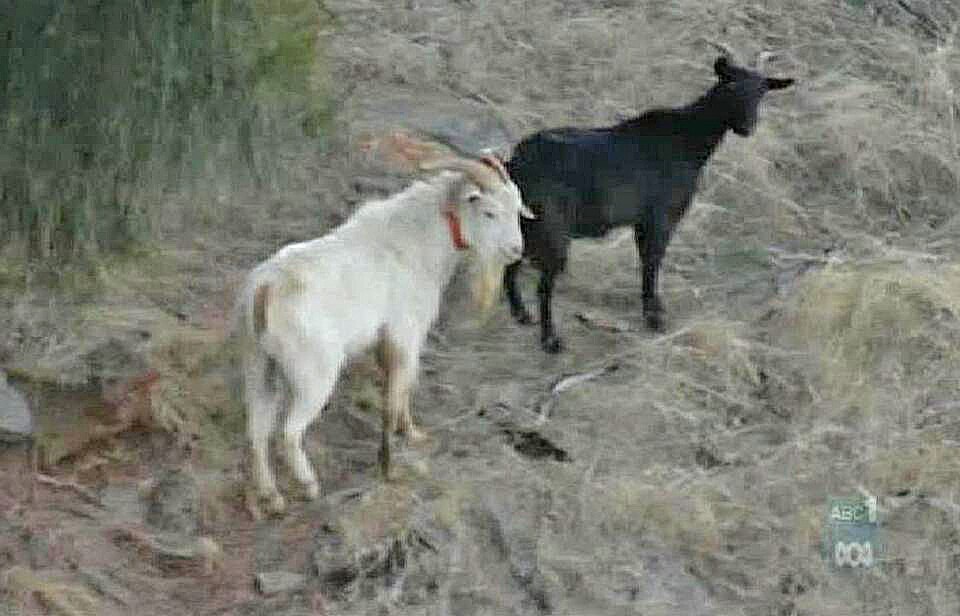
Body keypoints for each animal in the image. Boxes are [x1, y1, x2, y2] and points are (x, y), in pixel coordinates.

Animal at [236, 132, 533, 513]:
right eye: (489, 211)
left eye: (517, 208)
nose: (515, 250)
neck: (417, 241)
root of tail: (266, 289)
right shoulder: (406, 334)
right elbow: (398, 389)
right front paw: (394, 457)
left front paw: (410, 436)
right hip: (313, 373)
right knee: (288, 432)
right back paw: (308, 485)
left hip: (259, 365)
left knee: (256, 429)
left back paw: (271, 497)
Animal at [503, 55, 795, 352]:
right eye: (730, 84)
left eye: (761, 93)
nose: (747, 128)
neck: (689, 142)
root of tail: (516, 164)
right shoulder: (661, 217)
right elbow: (652, 263)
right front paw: (654, 319)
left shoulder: (643, 221)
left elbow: (647, 262)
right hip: (552, 230)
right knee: (543, 285)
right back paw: (551, 340)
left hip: (523, 224)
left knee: (510, 261)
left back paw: (521, 314)